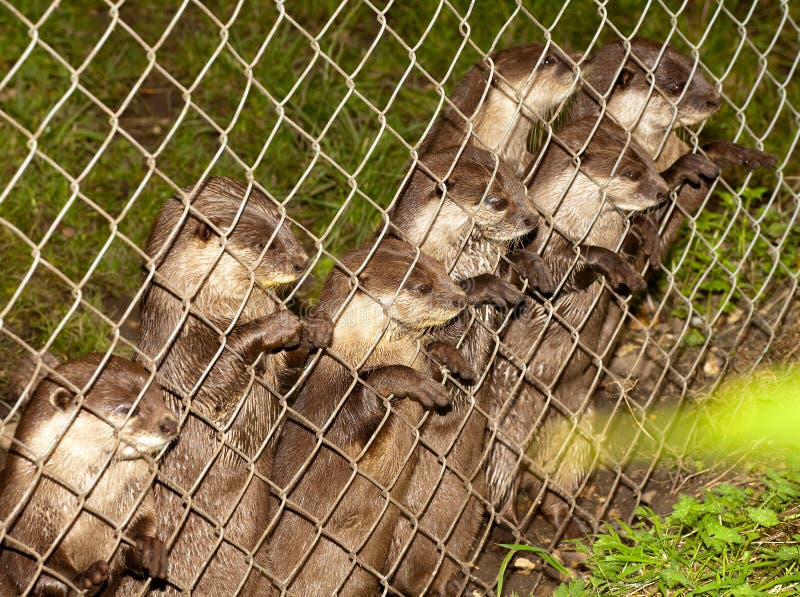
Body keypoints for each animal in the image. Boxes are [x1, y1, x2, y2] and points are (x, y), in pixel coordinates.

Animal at [0, 353, 176, 596]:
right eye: (127, 409)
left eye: (161, 398)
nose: (171, 424)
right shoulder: (20, 513)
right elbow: (27, 565)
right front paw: (83, 579)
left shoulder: (139, 500)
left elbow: (144, 522)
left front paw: (149, 548)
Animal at [128, 177, 332, 595]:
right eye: (264, 245)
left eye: (288, 229)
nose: (302, 261)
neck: (203, 310)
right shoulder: (182, 357)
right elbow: (215, 380)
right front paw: (275, 326)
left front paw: (312, 328)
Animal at [262, 237, 470, 596]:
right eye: (421, 287)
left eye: (441, 268)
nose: (461, 297)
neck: (357, 353)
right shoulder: (324, 407)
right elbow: (356, 409)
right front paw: (403, 379)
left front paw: (447, 355)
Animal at [483, 117, 669, 535]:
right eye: (631, 172)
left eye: (651, 161)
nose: (664, 192)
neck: (582, 223)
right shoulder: (543, 245)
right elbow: (570, 263)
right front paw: (614, 264)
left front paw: (648, 236)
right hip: (506, 427)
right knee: (500, 485)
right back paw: (519, 530)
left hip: (578, 429)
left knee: (558, 483)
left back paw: (573, 524)